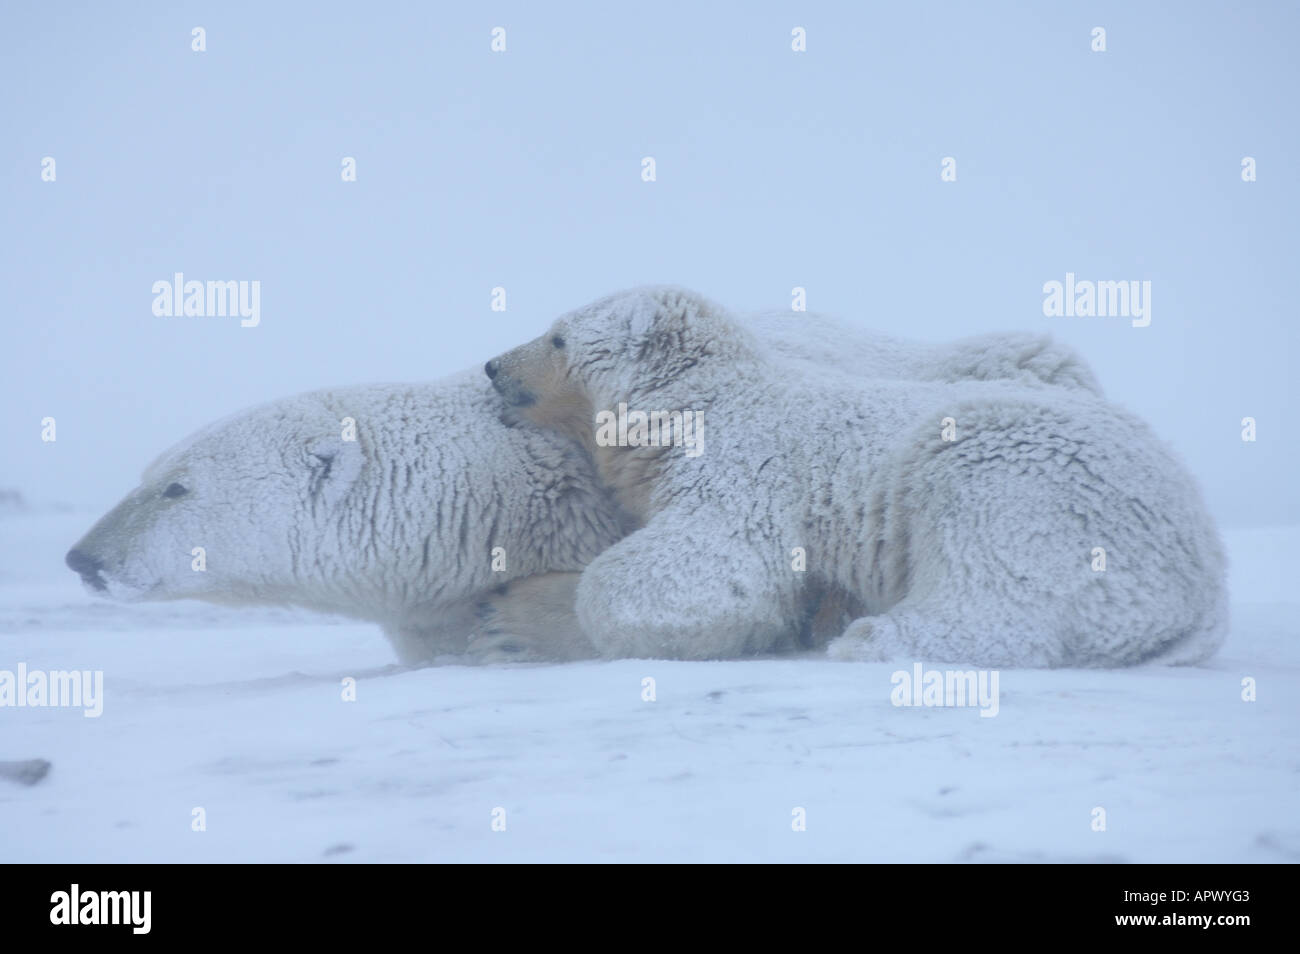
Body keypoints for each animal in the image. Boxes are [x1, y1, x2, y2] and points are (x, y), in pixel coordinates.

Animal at [484, 286, 1228, 667]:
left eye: (556, 336)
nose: (492, 366)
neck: (694, 405)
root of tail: (1208, 566)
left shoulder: (746, 467)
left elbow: (714, 564)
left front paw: (519, 618)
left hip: (1028, 472)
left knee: (993, 565)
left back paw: (876, 638)